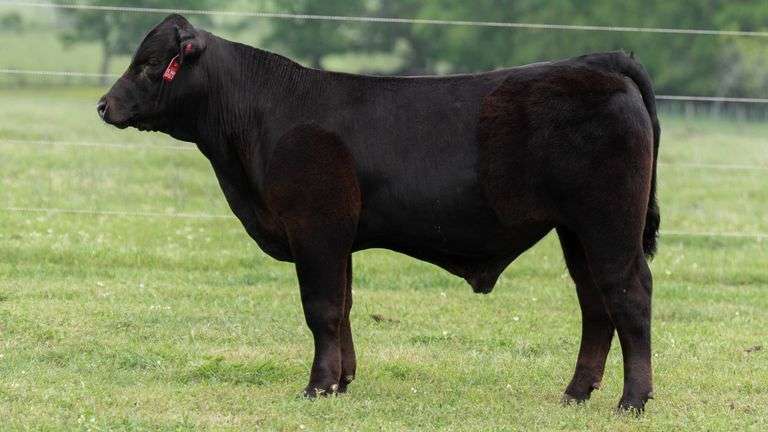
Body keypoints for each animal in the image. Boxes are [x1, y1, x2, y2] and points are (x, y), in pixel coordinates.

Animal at [98, 14, 661, 412]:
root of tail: (597, 61)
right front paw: (342, 382)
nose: (104, 105)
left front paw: (317, 386)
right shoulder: (338, 237)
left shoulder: (315, 228)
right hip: (577, 231)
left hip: (609, 225)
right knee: (595, 305)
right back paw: (576, 393)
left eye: (149, 64)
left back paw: (632, 401)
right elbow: (344, 305)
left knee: (628, 297)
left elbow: (321, 308)